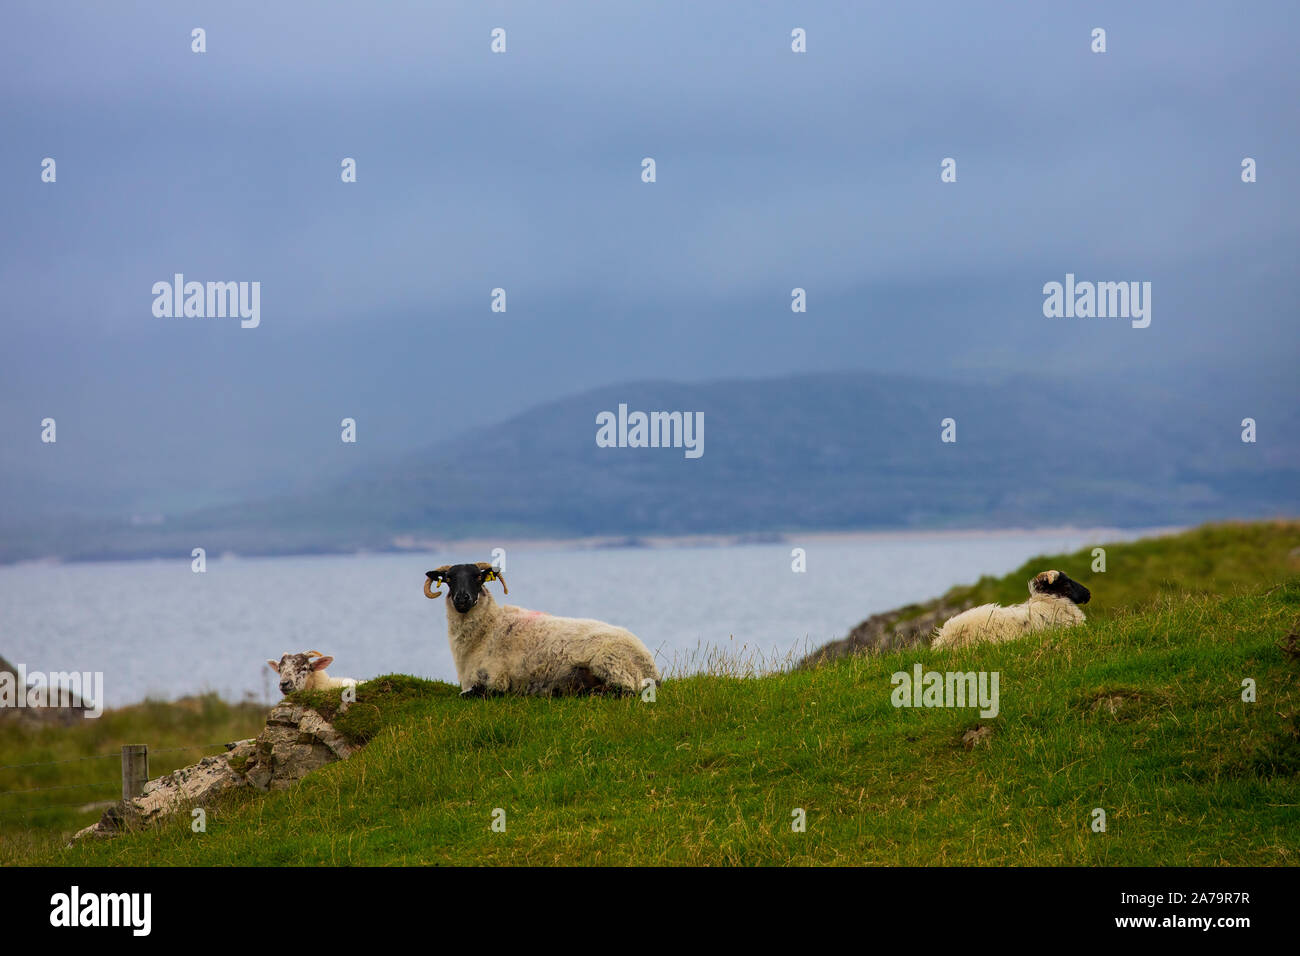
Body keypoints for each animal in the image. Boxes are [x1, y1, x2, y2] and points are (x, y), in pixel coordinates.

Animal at [424, 562, 661, 697]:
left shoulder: (495, 680)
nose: (462, 598)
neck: (488, 629)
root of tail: (651, 667)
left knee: (624, 691)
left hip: (611, 664)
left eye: (478, 577)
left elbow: (469, 694)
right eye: (449, 579)